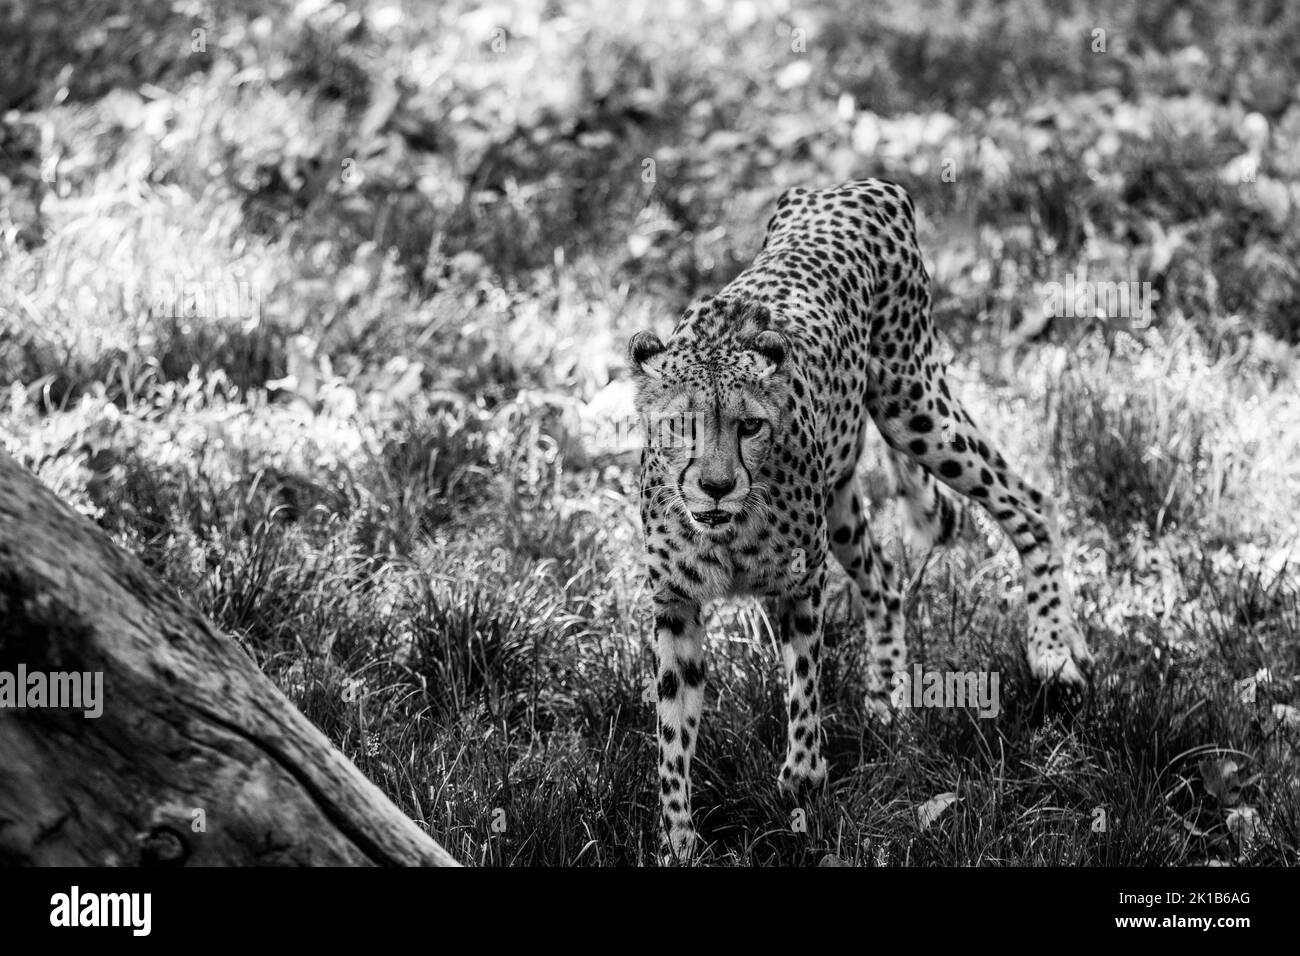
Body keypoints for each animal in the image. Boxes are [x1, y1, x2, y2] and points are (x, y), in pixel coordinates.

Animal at [627, 178, 1094, 861]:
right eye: (681, 425)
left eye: (750, 426)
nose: (716, 486)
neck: (725, 530)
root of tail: (853, 186)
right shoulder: (676, 607)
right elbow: (672, 737)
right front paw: (679, 842)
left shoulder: (801, 583)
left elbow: (803, 689)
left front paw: (802, 779)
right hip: (845, 497)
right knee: (886, 579)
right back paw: (887, 700)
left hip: (914, 406)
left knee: (1029, 501)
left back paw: (1053, 650)